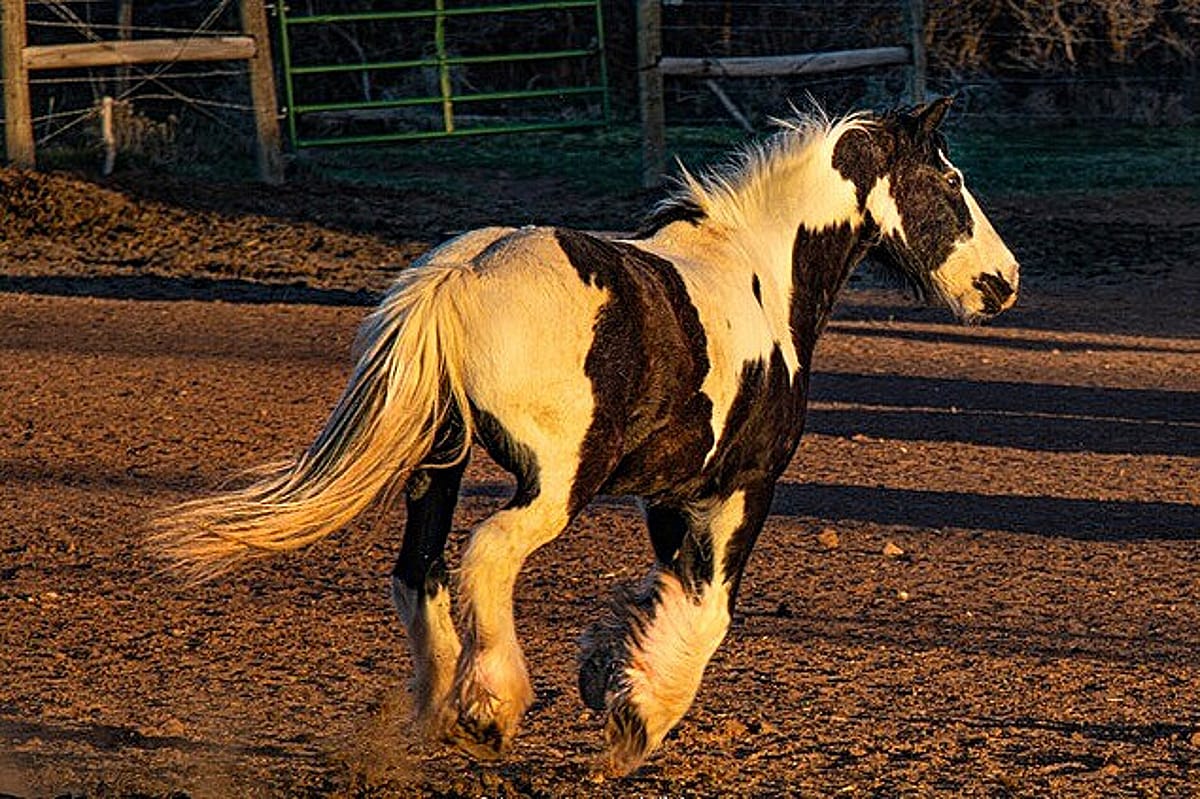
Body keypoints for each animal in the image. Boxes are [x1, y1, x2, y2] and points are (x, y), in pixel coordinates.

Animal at [154, 97, 1019, 775]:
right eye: (952, 182)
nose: (1003, 282)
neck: (761, 277)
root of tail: (461, 275)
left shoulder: (671, 494)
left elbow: (673, 590)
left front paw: (613, 672)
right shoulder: (745, 485)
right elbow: (711, 607)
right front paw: (639, 718)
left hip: (441, 461)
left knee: (417, 569)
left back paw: (439, 710)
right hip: (556, 480)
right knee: (484, 555)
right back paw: (489, 709)